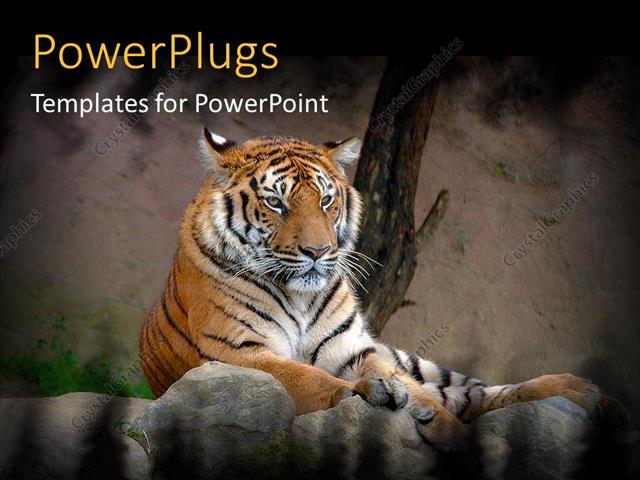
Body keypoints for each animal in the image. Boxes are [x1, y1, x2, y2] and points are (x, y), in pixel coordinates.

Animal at [140, 127, 623, 451]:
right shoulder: (237, 352)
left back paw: (584, 393)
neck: (298, 294)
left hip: (408, 357)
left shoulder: (354, 348)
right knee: (468, 397)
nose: (318, 251)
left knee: (473, 391)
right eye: (275, 202)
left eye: (327, 200)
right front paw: (372, 395)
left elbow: (421, 394)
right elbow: (309, 377)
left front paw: (443, 427)